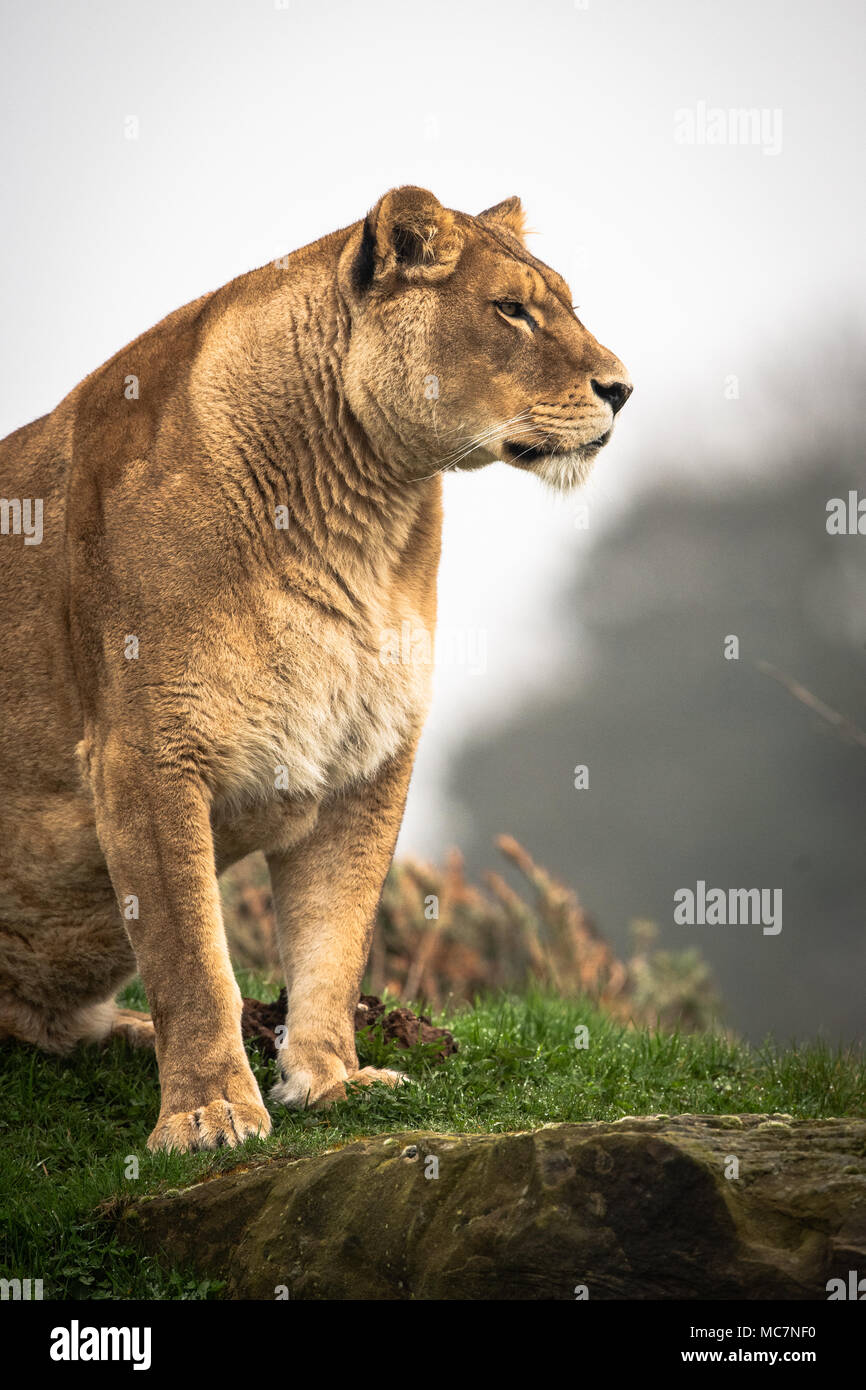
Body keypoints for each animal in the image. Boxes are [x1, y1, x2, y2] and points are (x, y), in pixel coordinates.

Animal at [0, 187, 630, 1151]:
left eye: (565, 304)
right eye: (511, 310)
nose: (624, 389)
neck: (357, 515)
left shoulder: (368, 755)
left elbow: (336, 938)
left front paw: (329, 1079)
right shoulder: (141, 755)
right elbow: (190, 953)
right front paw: (209, 1111)